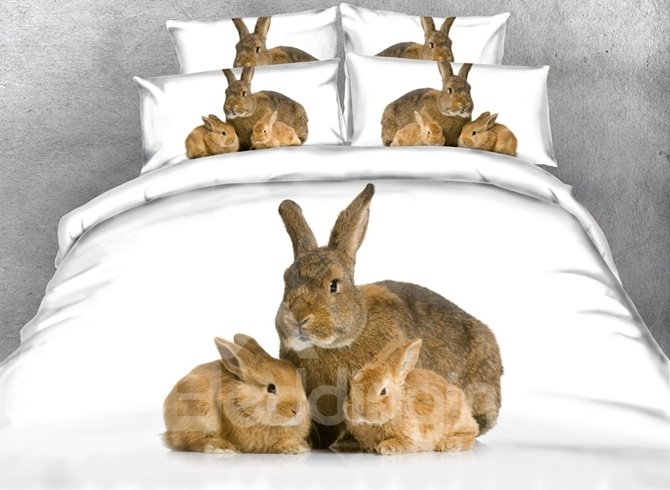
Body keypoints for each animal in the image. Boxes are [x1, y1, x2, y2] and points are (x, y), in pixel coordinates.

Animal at [163, 334, 311, 454]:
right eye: (271, 388)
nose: (297, 410)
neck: (242, 401)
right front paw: (295, 447)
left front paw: (303, 445)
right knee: (191, 441)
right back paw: (220, 447)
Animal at [344, 339, 479, 455]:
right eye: (352, 384)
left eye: (383, 391)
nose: (358, 410)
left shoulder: (412, 436)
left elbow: (403, 442)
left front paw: (386, 447)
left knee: (471, 433)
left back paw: (448, 444)